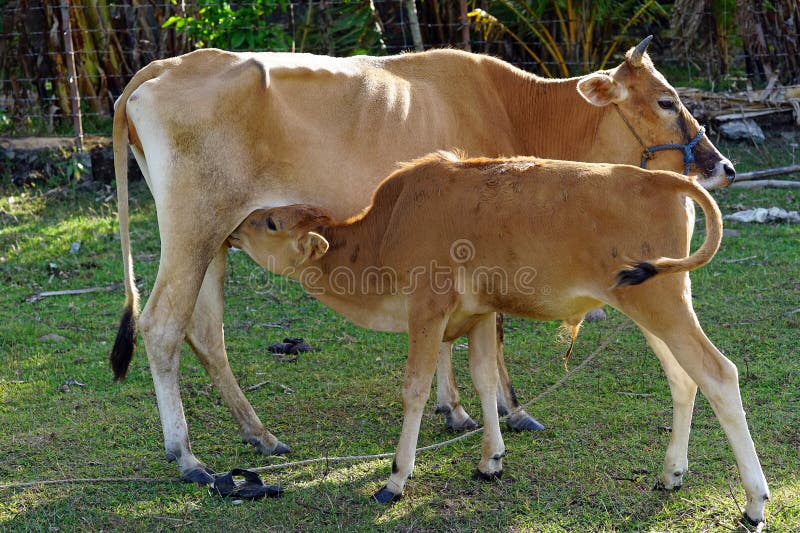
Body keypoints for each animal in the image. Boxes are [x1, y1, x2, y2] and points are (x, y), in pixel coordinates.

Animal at [110, 37, 738, 485]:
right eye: (667, 101)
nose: (723, 166)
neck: (515, 106)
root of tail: (163, 66)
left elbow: (449, 341)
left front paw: (453, 409)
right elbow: (491, 331)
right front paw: (509, 410)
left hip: (219, 239)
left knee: (205, 332)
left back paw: (259, 436)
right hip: (193, 229)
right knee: (162, 326)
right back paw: (187, 456)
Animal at [229, 152, 768, 525]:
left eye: (271, 222)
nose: (233, 229)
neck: (382, 236)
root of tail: (660, 177)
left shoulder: (427, 312)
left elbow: (415, 389)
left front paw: (397, 478)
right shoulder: (482, 313)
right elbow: (485, 378)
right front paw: (491, 459)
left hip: (661, 305)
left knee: (719, 375)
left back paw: (755, 502)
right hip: (656, 308)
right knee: (683, 379)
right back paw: (671, 474)